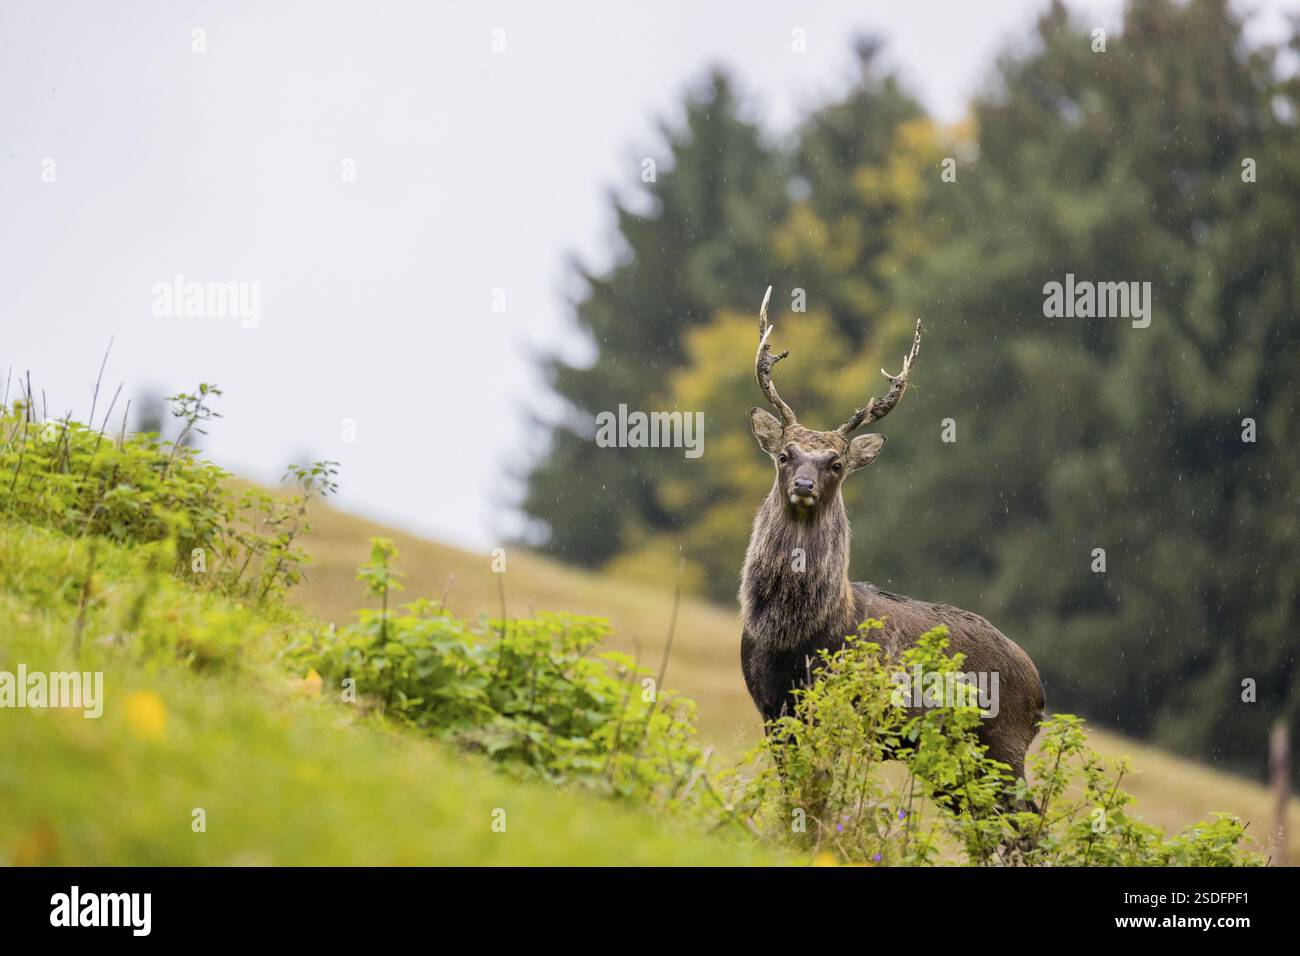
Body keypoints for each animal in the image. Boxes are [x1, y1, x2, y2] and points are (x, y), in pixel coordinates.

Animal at [739, 287, 1045, 799]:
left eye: (836, 464)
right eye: (785, 454)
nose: (803, 485)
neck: (792, 636)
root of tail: (1041, 693)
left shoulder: (838, 704)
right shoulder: (771, 708)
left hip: (1002, 747)